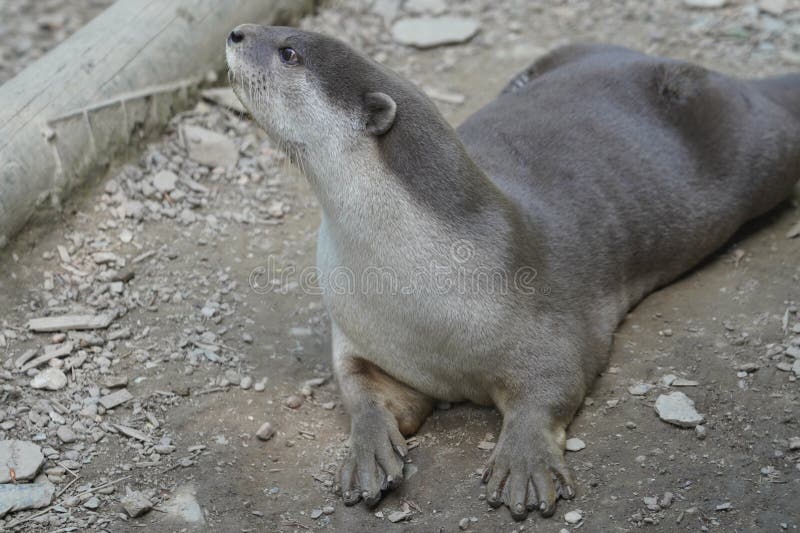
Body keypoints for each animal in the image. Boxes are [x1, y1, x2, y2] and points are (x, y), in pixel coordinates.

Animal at [226, 25, 800, 520]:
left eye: (289, 52)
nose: (235, 33)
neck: (408, 285)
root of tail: (732, 82)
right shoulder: (363, 336)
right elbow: (360, 391)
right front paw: (368, 452)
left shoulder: (548, 317)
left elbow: (551, 386)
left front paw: (524, 462)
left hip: (766, 149)